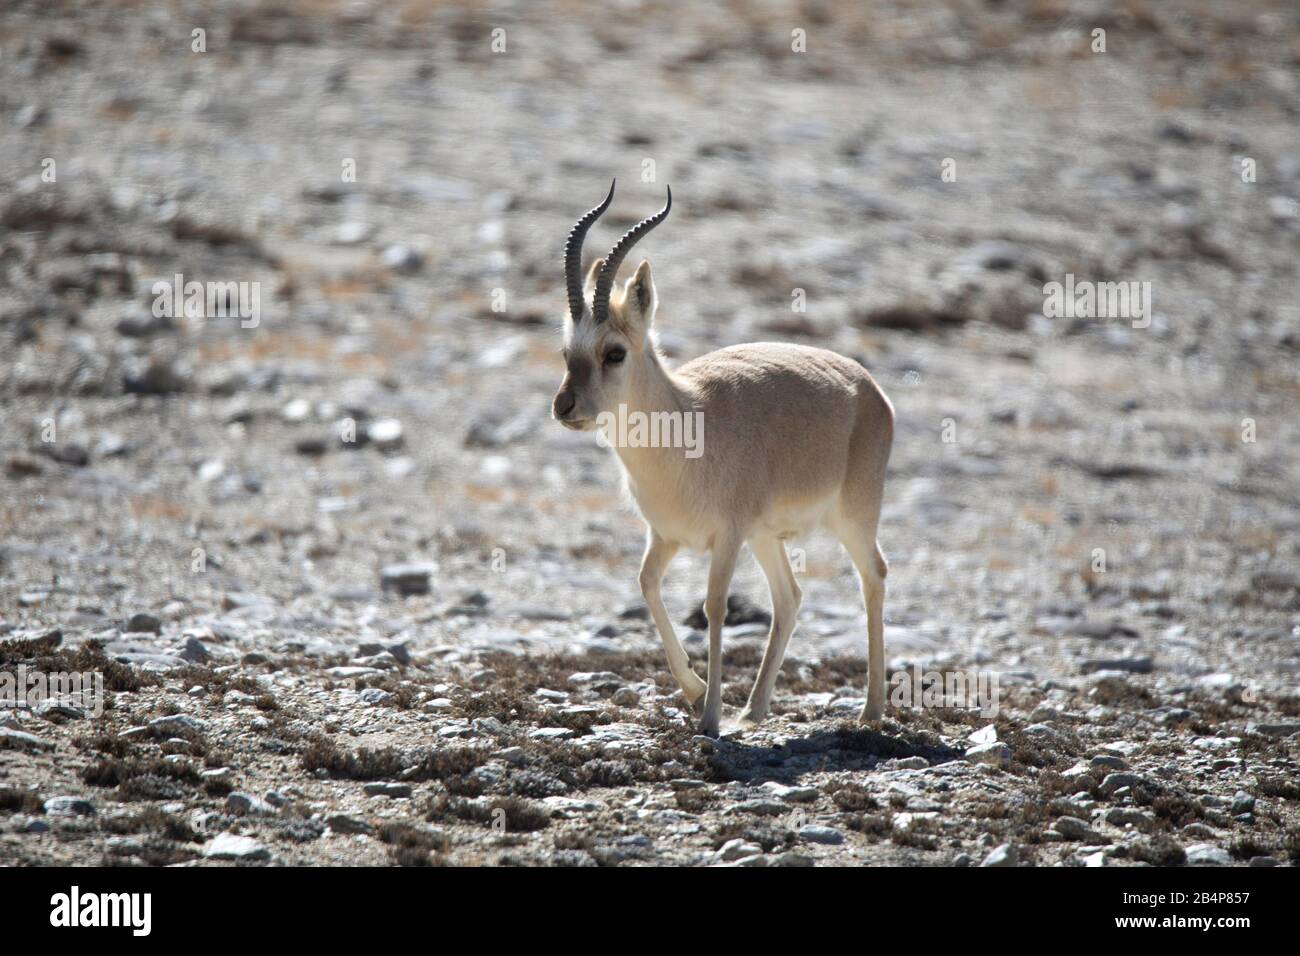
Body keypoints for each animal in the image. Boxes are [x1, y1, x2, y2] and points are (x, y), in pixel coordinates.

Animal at [551, 182, 894, 737]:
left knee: (873, 577)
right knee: (789, 597)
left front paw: (710, 716)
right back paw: (754, 709)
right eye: (567, 352)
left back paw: (870, 712)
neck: (684, 429)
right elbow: (646, 585)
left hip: (851, 521)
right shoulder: (666, 536)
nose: (564, 407)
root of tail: (870, 387)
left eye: (614, 352)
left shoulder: (726, 538)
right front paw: (695, 695)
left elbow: (714, 608)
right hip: (766, 537)